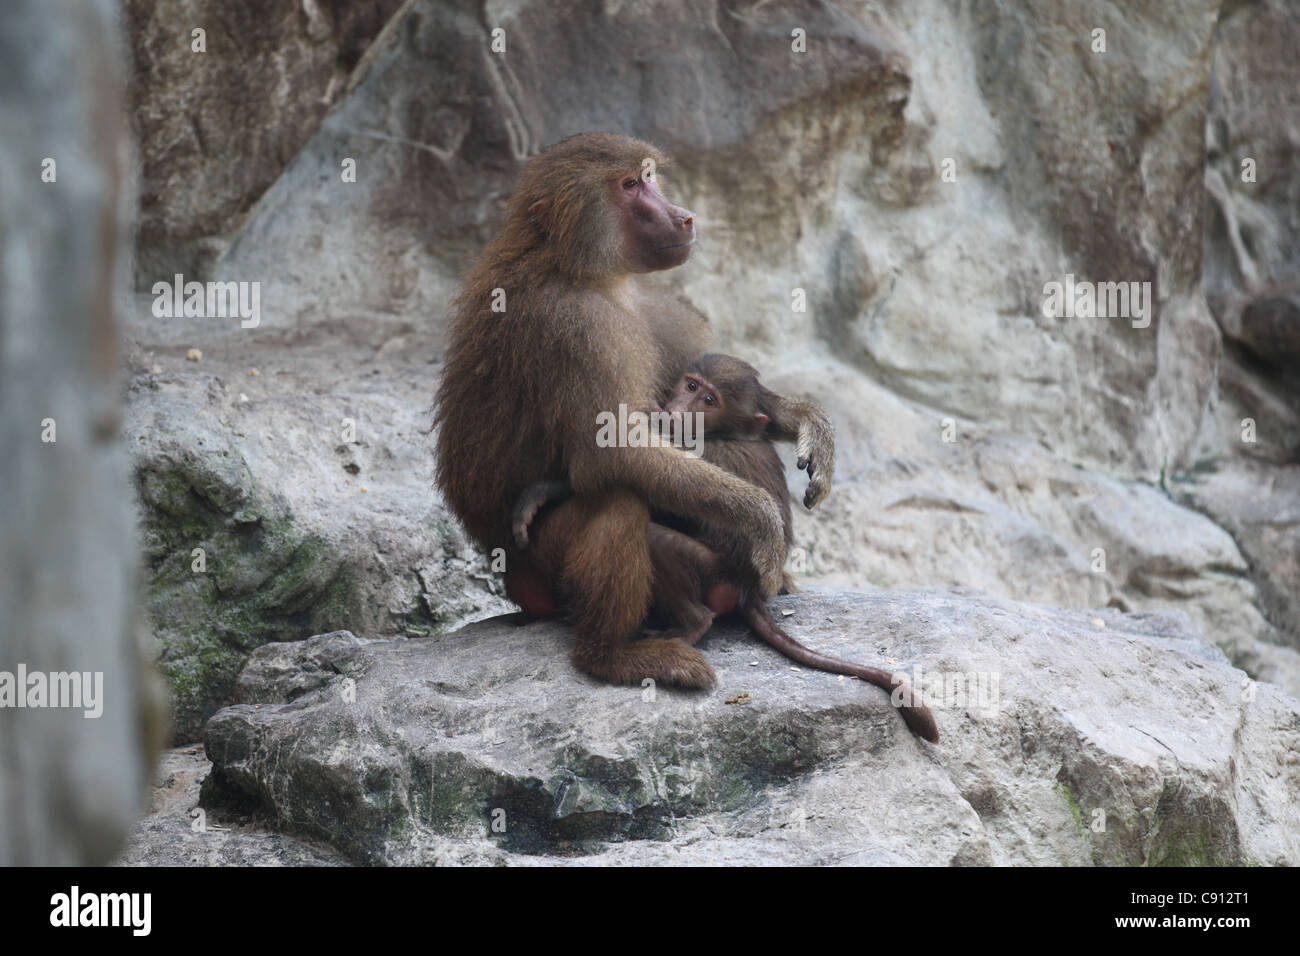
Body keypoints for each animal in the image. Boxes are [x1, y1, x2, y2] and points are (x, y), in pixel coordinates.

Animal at [434, 133, 835, 692]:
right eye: (628, 186)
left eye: (648, 178)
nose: (684, 217)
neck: (583, 270)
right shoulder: (578, 329)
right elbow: (613, 455)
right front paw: (761, 522)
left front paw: (809, 428)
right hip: (541, 566)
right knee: (620, 501)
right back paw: (613, 656)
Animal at [512, 354, 938, 743]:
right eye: (690, 386)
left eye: (709, 400)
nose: (676, 409)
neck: (724, 433)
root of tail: (750, 592)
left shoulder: (696, 447)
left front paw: (547, 490)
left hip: (715, 575)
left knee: (658, 539)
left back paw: (689, 628)